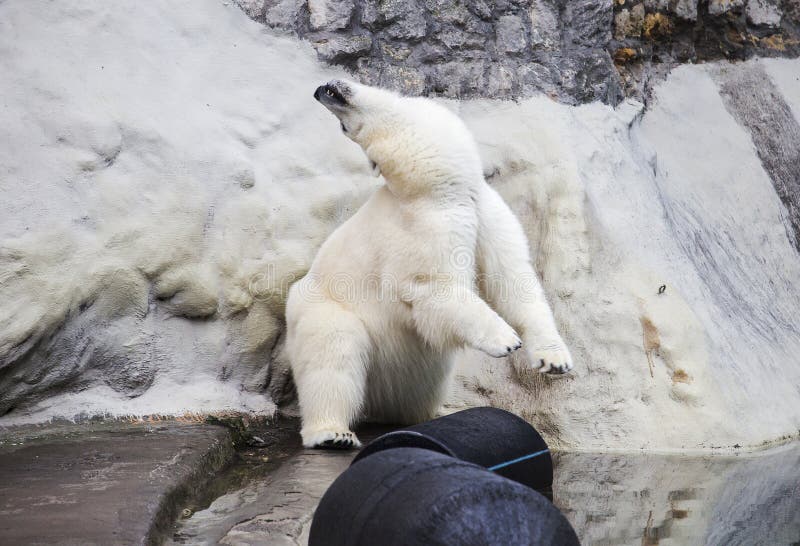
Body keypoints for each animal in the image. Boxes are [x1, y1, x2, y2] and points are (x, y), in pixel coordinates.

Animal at [284, 80, 573, 448]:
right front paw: (505, 339)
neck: (439, 183)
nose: (322, 89)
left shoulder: (485, 208)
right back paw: (332, 433)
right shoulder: (426, 220)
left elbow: (512, 277)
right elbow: (428, 286)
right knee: (333, 350)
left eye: (344, 126)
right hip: (322, 307)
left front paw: (554, 359)